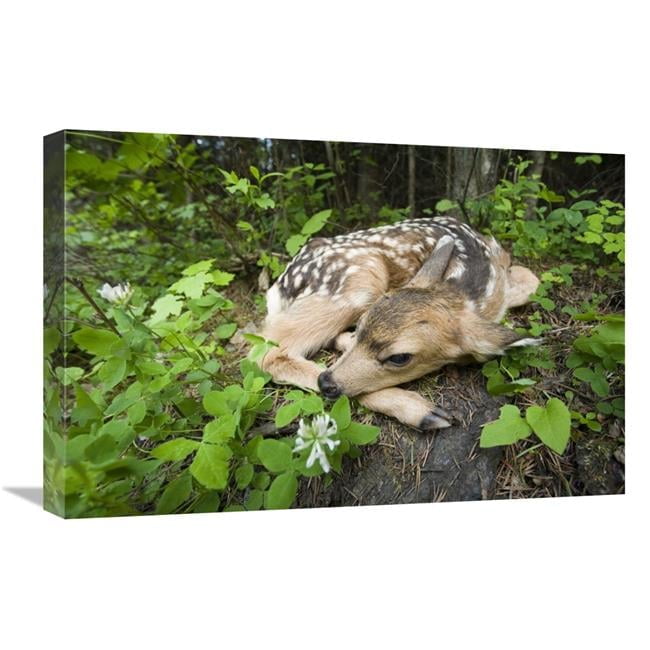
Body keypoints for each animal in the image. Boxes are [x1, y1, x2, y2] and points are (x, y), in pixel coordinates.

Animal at [260, 216, 540, 431]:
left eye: (399, 358)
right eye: (361, 325)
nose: (326, 383)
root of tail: (277, 288)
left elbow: (532, 280)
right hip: (363, 276)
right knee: (268, 354)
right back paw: (424, 412)